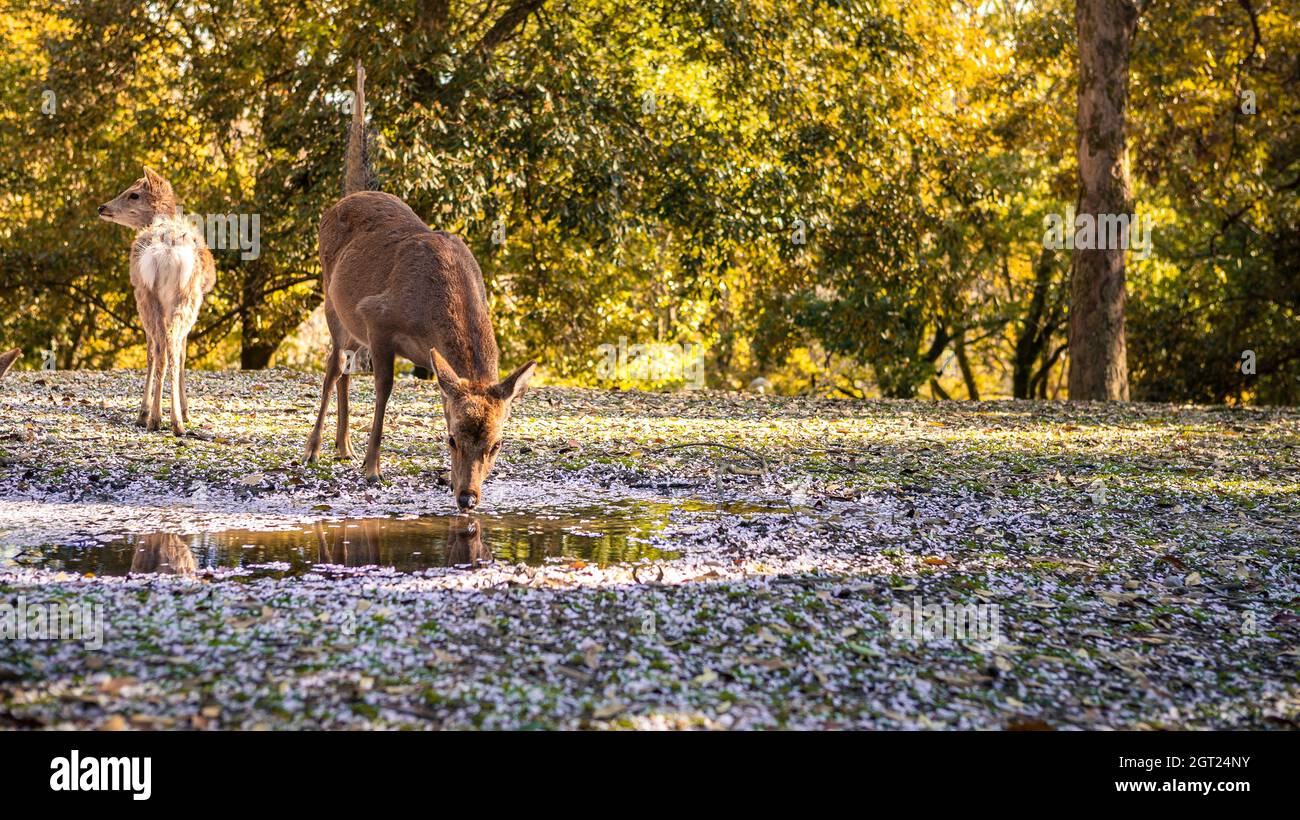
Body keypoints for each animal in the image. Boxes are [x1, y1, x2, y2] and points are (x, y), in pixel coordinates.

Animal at [98, 168, 216, 436]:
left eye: (133, 194)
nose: (102, 207)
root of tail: (166, 252)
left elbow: (158, 353)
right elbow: (180, 354)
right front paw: (183, 410)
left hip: (151, 298)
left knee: (162, 347)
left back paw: (159, 417)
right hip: (182, 298)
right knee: (169, 347)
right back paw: (167, 419)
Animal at [304, 63, 536, 511]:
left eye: (497, 445)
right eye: (451, 439)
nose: (468, 498)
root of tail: (345, 196)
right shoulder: (376, 318)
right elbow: (384, 389)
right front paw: (373, 469)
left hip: (349, 322)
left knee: (343, 370)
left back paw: (344, 447)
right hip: (332, 305)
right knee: (333, 366)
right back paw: (314, 449)